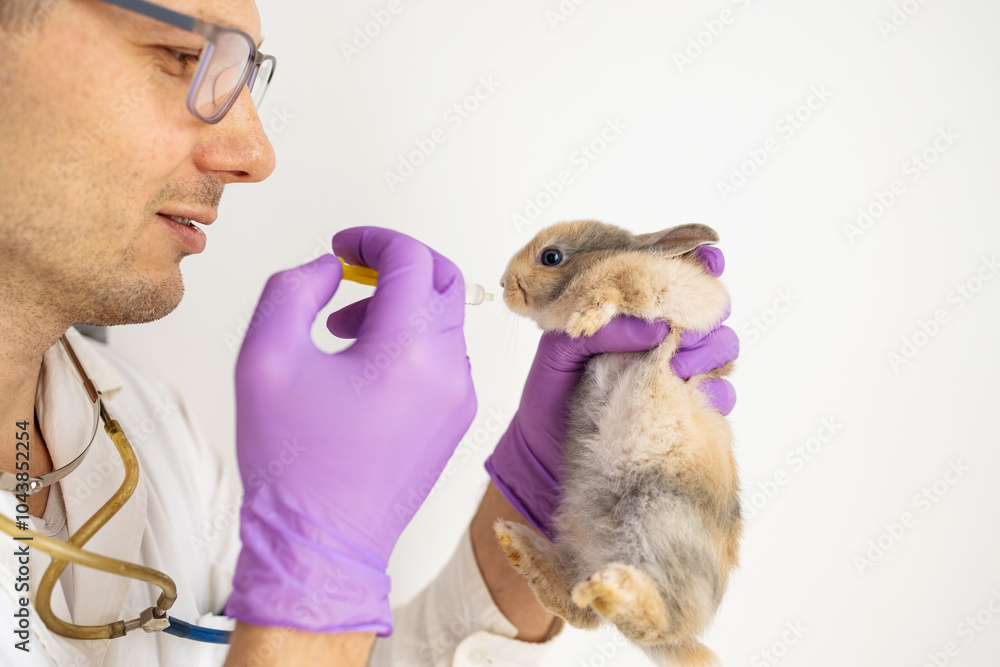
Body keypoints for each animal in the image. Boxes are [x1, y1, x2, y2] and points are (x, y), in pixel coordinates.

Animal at [493, 220, 740, 667]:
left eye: (551, 257)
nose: (504, 283)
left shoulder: (672, 291)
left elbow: (616, 285)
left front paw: (584, 322)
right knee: (583, 611)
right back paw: (519, 546)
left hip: (661, 518)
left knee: (649, 621)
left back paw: (615, 589)